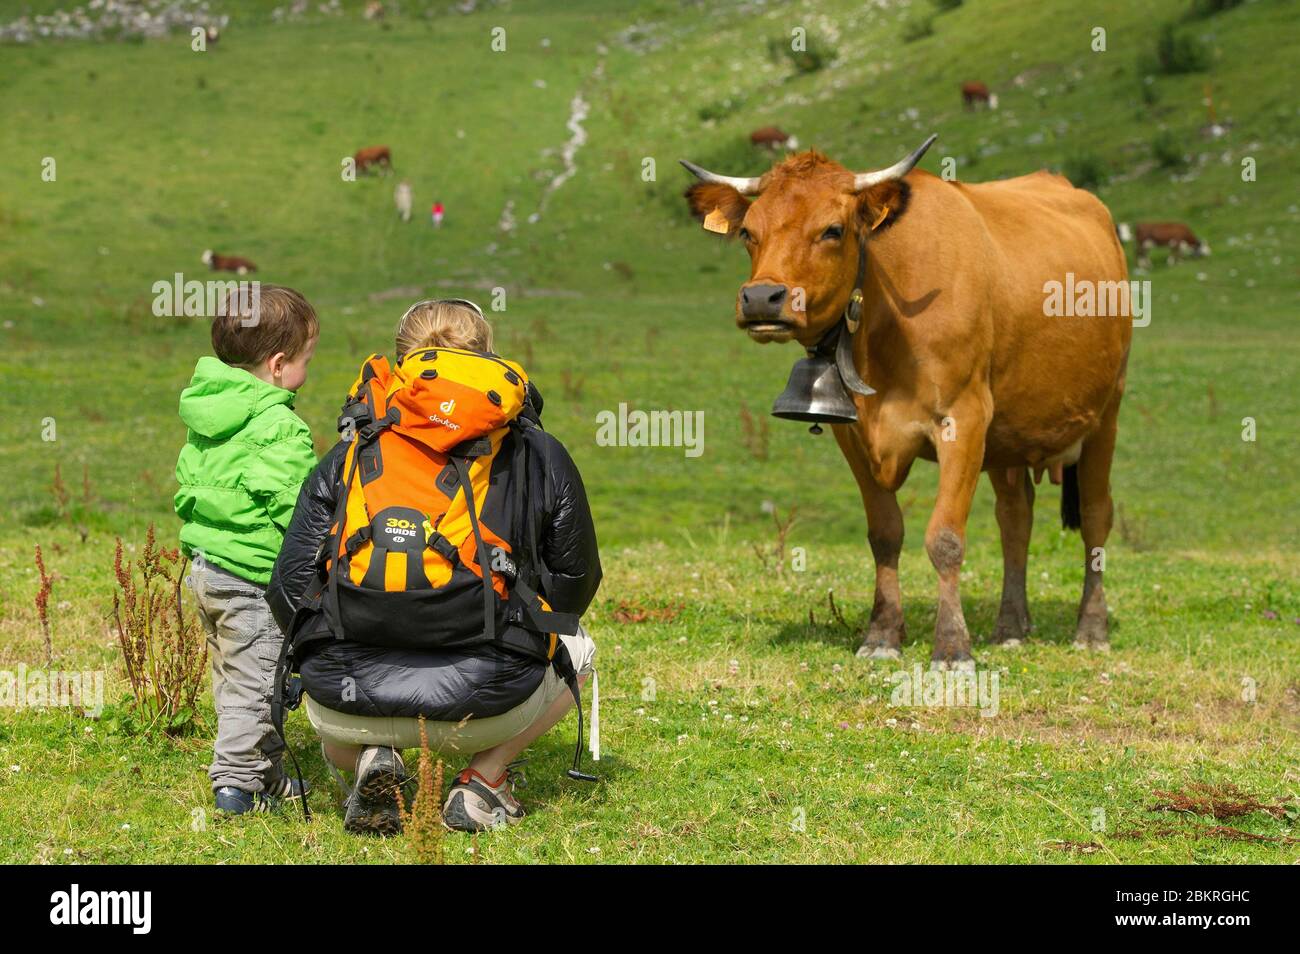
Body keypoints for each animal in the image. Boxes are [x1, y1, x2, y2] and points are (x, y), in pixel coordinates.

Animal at [680, 138, 1131, 668]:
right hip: (1011, 434)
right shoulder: (852, 433)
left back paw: (1091, 627)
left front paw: (953, 647)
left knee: (1097, 516)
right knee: (1015, 519)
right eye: (749, 232)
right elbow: (885, 534)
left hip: (1106, 413)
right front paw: (882, 635)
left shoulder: (965, 419)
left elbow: (945, 538)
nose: (761, 298)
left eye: (833, 230)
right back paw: (1010, 627)